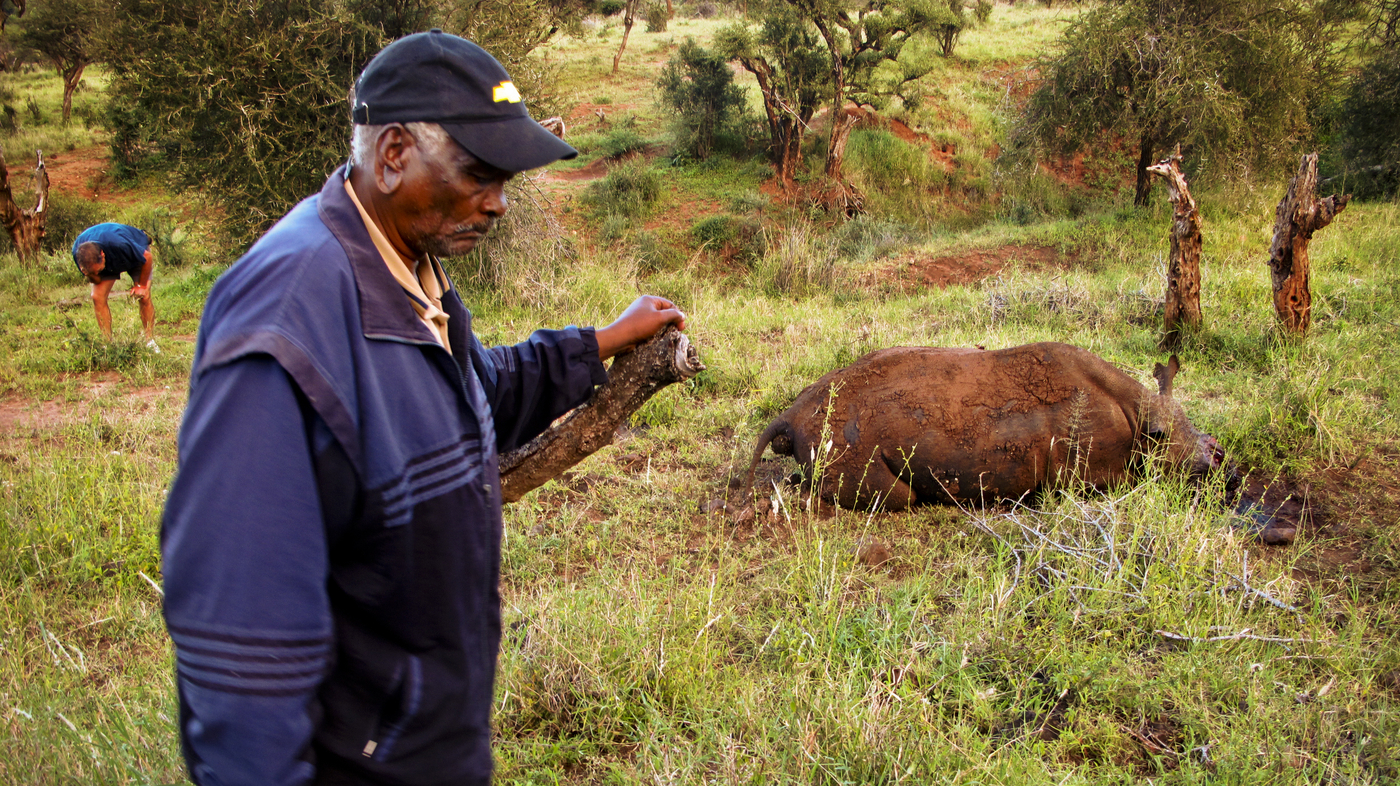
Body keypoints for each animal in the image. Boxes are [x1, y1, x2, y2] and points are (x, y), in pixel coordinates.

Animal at [740, 342, 1235, 513]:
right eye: (1192, 460)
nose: (1221, 463)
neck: (1139, 417)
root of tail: (792, 414)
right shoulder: (1092, 474)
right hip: (840, 434)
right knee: (898, 498)